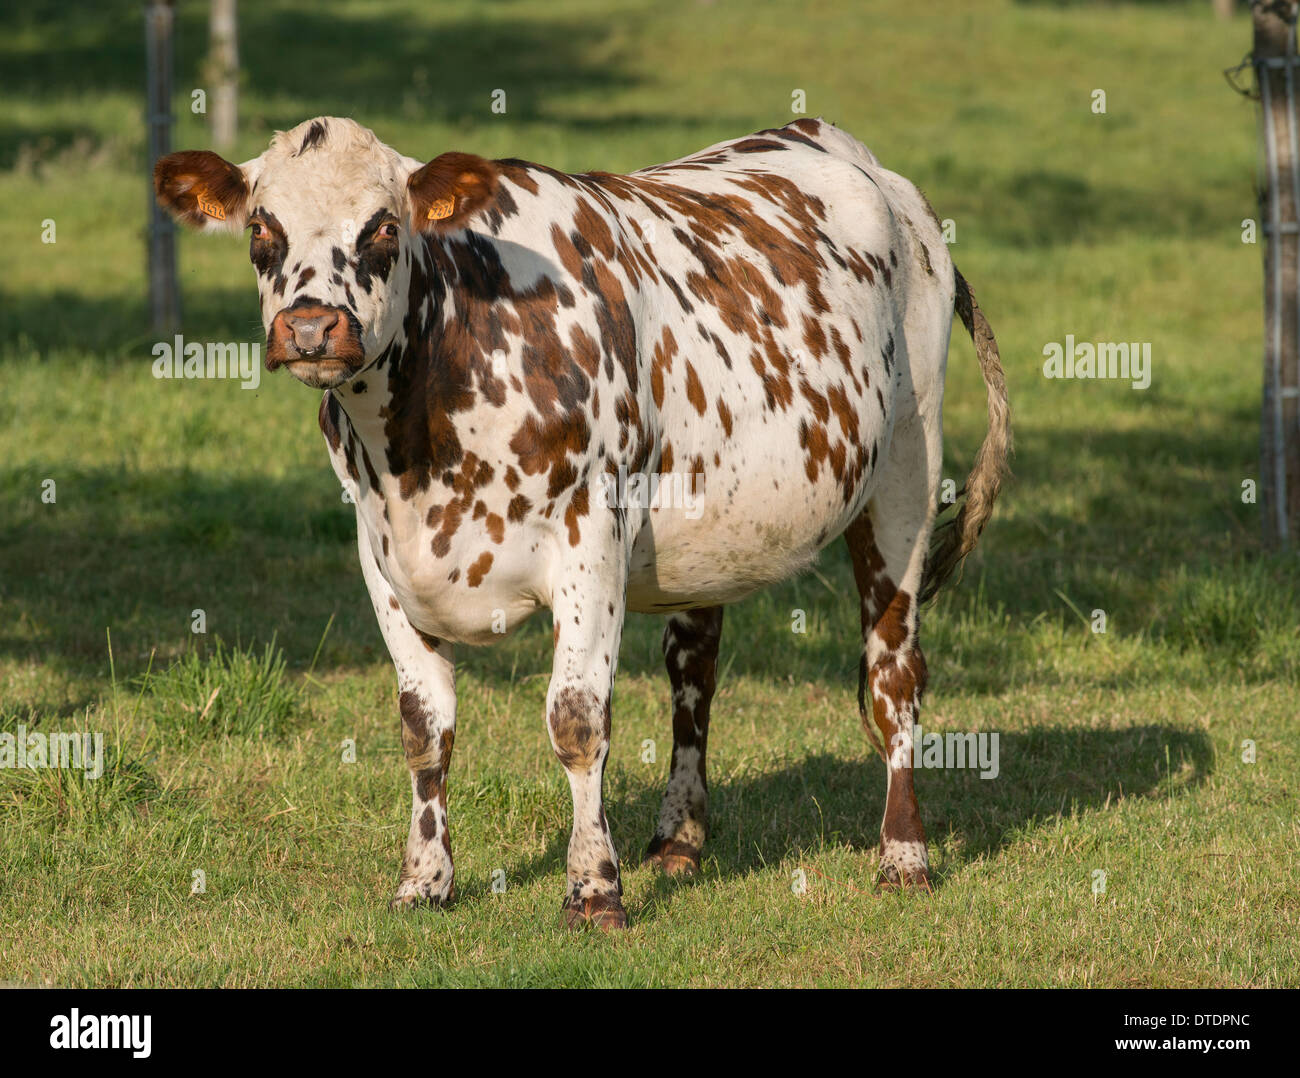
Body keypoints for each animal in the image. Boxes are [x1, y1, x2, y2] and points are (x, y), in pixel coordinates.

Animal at [154, 115, 1010, 930]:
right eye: (261, 229)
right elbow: (424, 729)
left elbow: (577, 721)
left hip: (906, 470)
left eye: (385, 227)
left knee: (893, 671)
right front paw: (424, 882)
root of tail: (869, 167)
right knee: (694, 671)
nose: (309, 329)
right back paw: (678, 840)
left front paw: (594, 890)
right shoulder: (381, 556)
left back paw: (903, 855)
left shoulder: (589, 541)